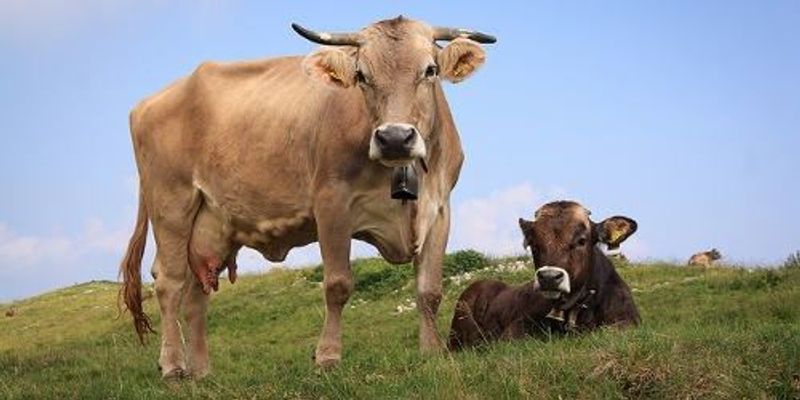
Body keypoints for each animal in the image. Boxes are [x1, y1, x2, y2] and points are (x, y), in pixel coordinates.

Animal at [119, 16, 496, 379]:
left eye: (430, 70)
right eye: (362, 75)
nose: (394, 138)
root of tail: (150, 101)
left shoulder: (439, 209)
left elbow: (429, 290)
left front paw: (432, 352)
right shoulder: (332, 204)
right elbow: (337, 285)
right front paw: (327, 357)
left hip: (212, 225)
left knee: (197, 294)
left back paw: (201, 372)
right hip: (171, 203)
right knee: (169, 283)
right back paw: (173, 366)